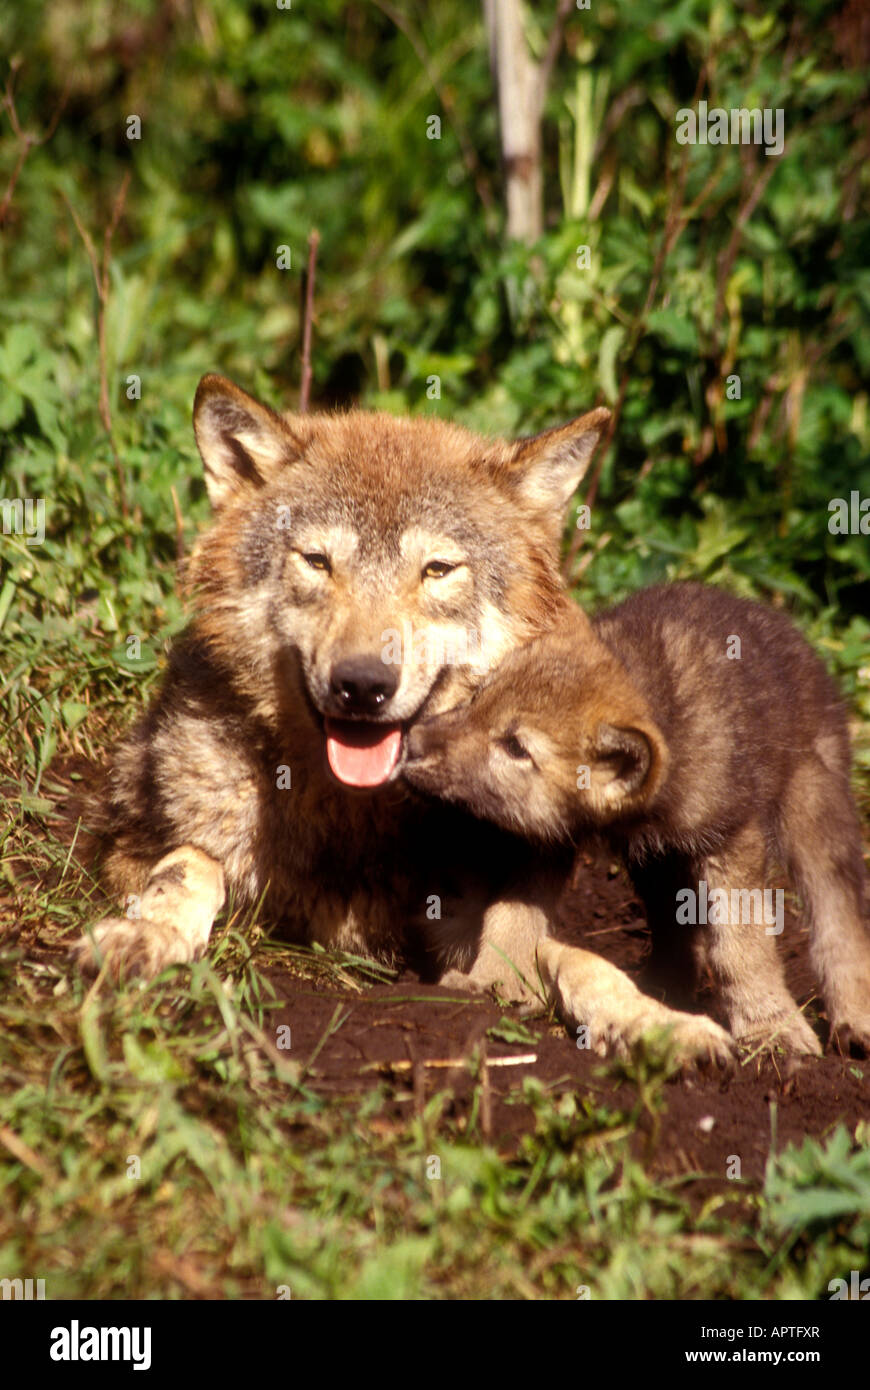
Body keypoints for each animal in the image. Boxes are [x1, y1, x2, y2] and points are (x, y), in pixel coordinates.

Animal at [73, 376, 734, 1067]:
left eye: (437, 570)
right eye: (317, 561)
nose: (363, 684)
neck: (352, 818)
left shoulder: (457, 924)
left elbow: (569, 956)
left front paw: (661, 1021)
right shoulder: (129, 849)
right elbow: (188, 866)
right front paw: (143, 936)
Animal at [404, 583, 870, 1056]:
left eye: (516, 747)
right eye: (477, 698)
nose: (412, 742)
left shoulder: (733, 839)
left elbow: (742, 943)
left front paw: (769, 1027)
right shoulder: (549, 840)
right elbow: (512, 915)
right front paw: (489, 982)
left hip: (815, 806)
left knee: (839, 914)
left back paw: (854, 1017)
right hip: (656, 862)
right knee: (673, 926)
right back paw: (667, 989)